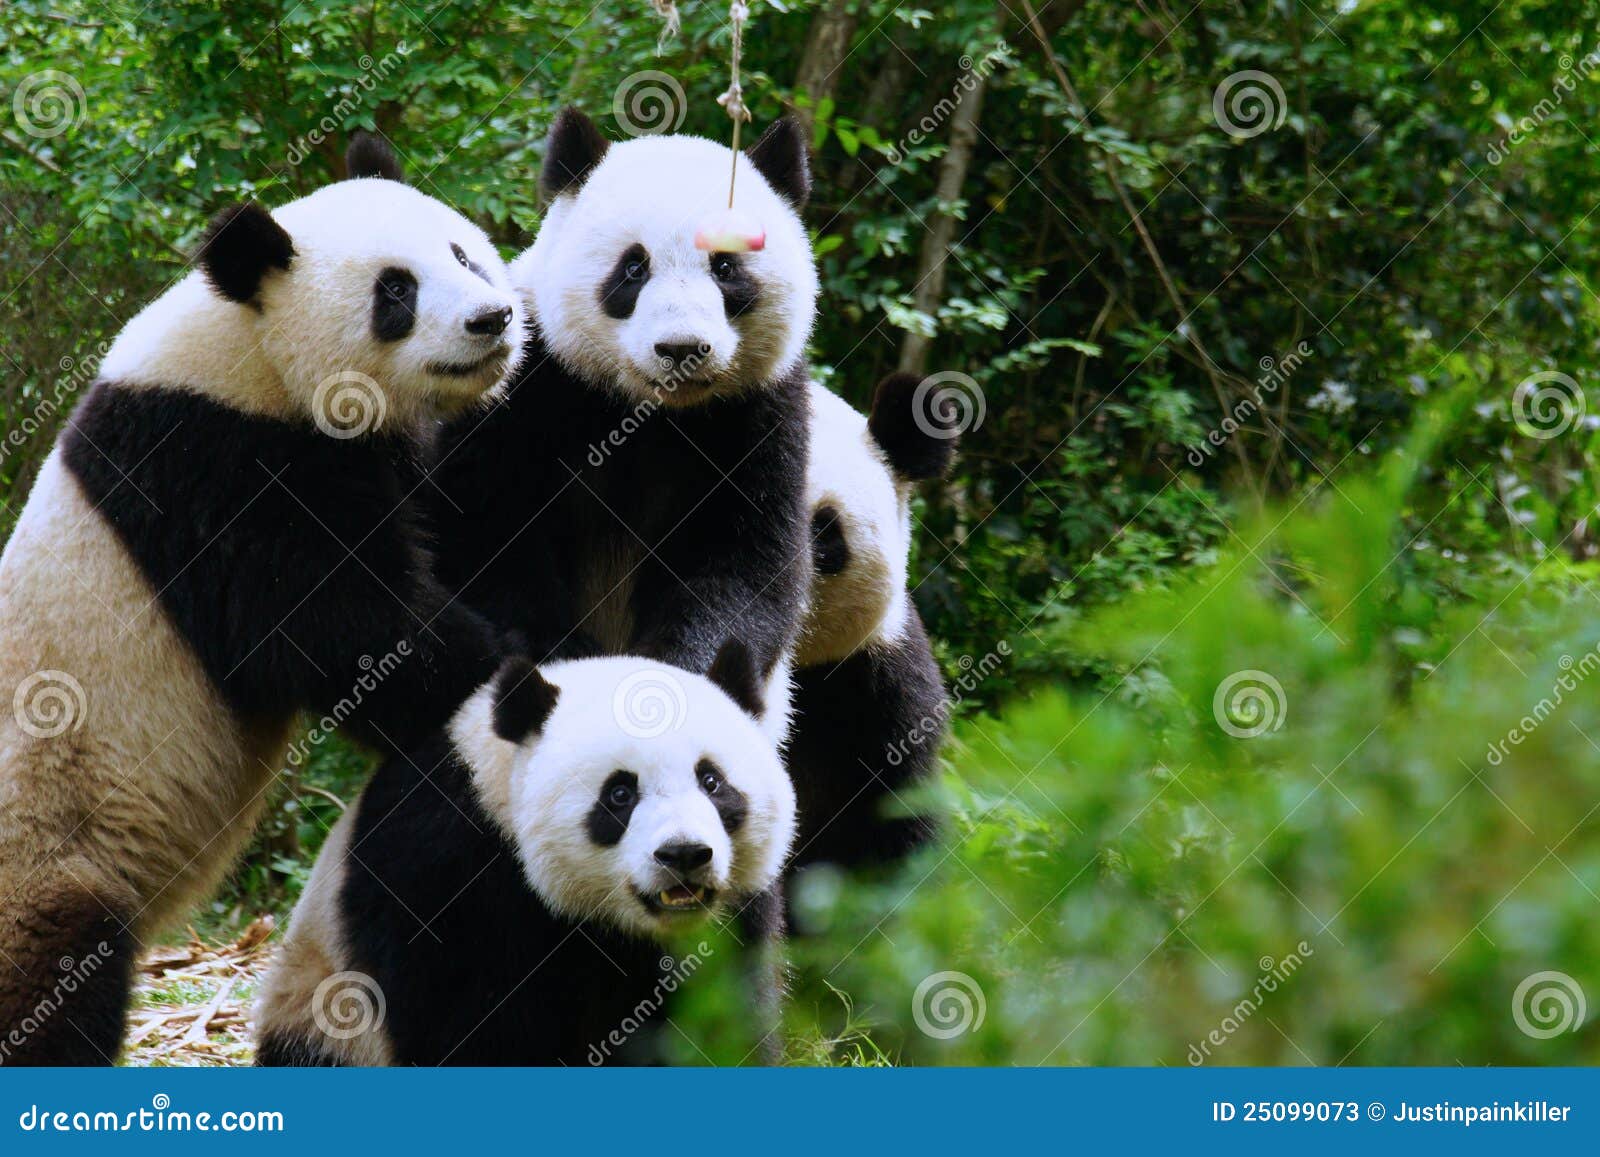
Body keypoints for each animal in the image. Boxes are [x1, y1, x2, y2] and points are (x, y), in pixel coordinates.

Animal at [0, 136, 523, 1065]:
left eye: (464, 253)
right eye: (396, 292)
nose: (493, 319)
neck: (248, 350)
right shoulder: (208, 463)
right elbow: (337, 629)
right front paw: (503, 662)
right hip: (43, 838)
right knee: (50, 970)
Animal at [254, 640, 796, 1066]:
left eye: (712, 781)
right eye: (620, 794)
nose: (683, 854)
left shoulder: (738, 918)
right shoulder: (447, 874)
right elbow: (472, 1027)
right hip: (321, 1007)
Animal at [426, 108, 817, 733]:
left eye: (725, 267)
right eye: (634, 268)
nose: (682, 349)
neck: (650, 411)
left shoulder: (759, 412)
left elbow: (743, 563)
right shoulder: (530, 385)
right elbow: (488, 537)